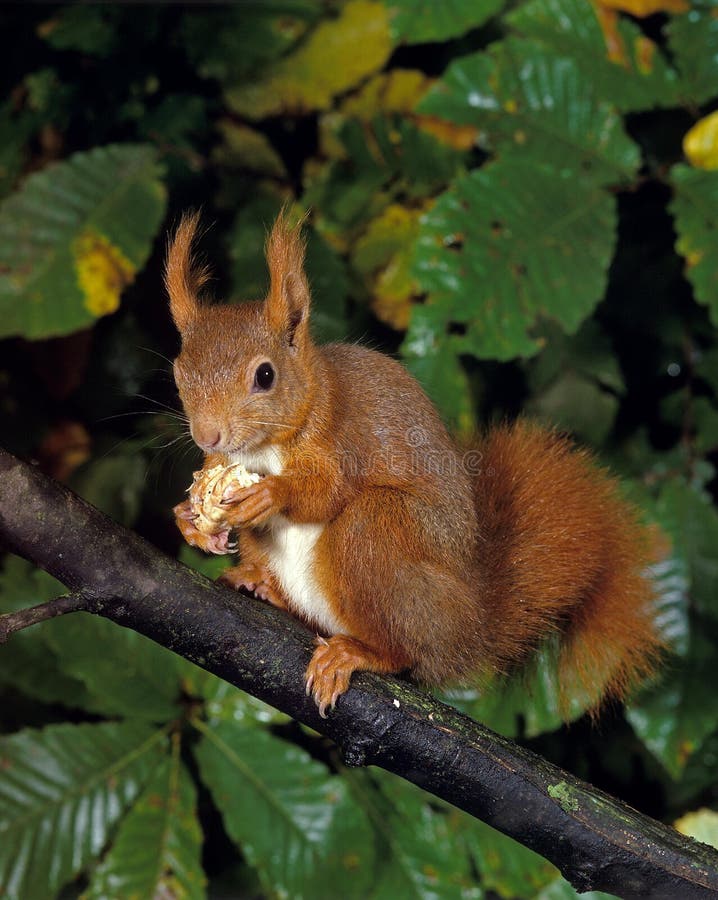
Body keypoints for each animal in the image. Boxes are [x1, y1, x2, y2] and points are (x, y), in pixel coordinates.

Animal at [166, 210, 663, 718]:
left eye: (265, 375)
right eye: (178, 374)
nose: (207, 434)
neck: (266, 445)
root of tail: (469, 630)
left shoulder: (344, 437)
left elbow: (327, 492)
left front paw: (271, 493)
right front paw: (188, 521)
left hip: (385, 541)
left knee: (403, 648)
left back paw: (357, 653)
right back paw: (262, 585)